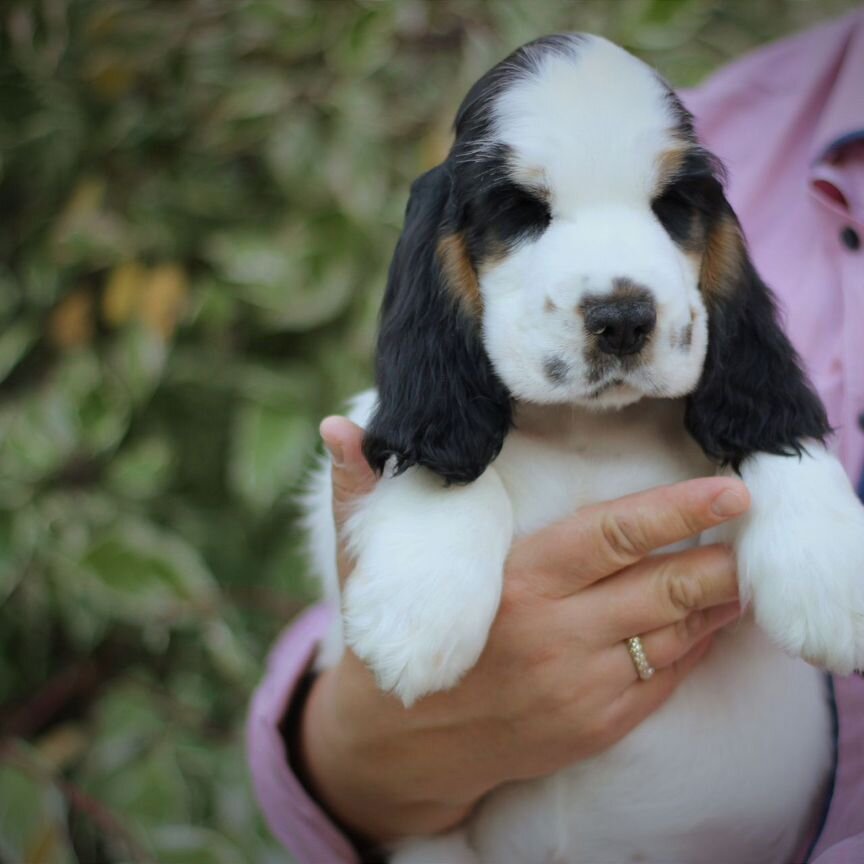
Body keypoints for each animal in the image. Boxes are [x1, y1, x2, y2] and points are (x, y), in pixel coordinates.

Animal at [302, 35, 864, 864]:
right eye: (521, 212)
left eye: (671, 207)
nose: (623, 318)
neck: (586, 430)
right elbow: (447, 460)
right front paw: (419, 605)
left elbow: (768, 432)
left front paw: (829, 574)